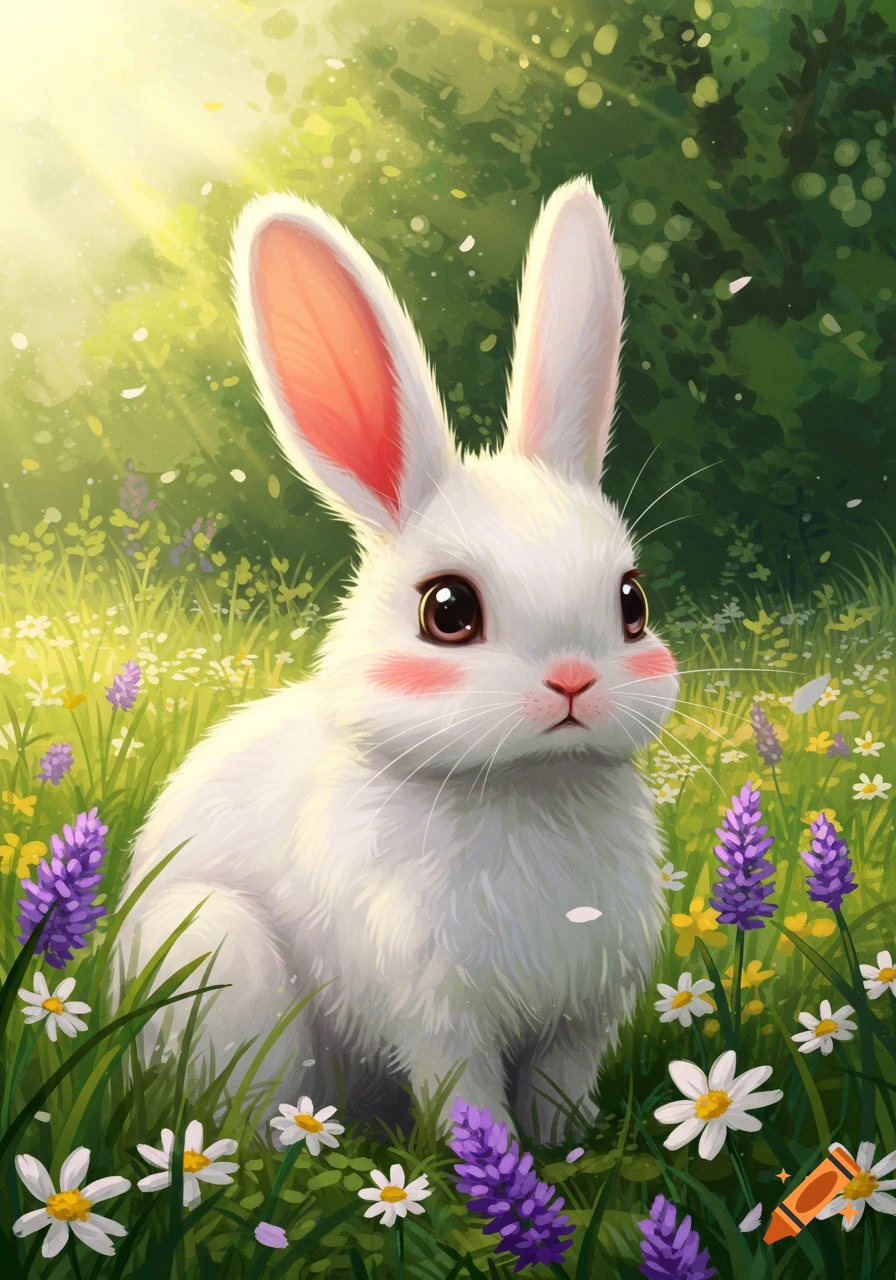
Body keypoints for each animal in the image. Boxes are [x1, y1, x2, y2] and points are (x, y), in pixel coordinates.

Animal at [117, 175, 680, 1142]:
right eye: (447, 610)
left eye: (631, 603)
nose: (575, 680)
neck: (527, 793)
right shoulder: (434, 1013)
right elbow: (467, 1099)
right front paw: (494, 1165)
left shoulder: (582, 1016)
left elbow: (560, 1094)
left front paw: (565, 1157)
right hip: (216, 959)